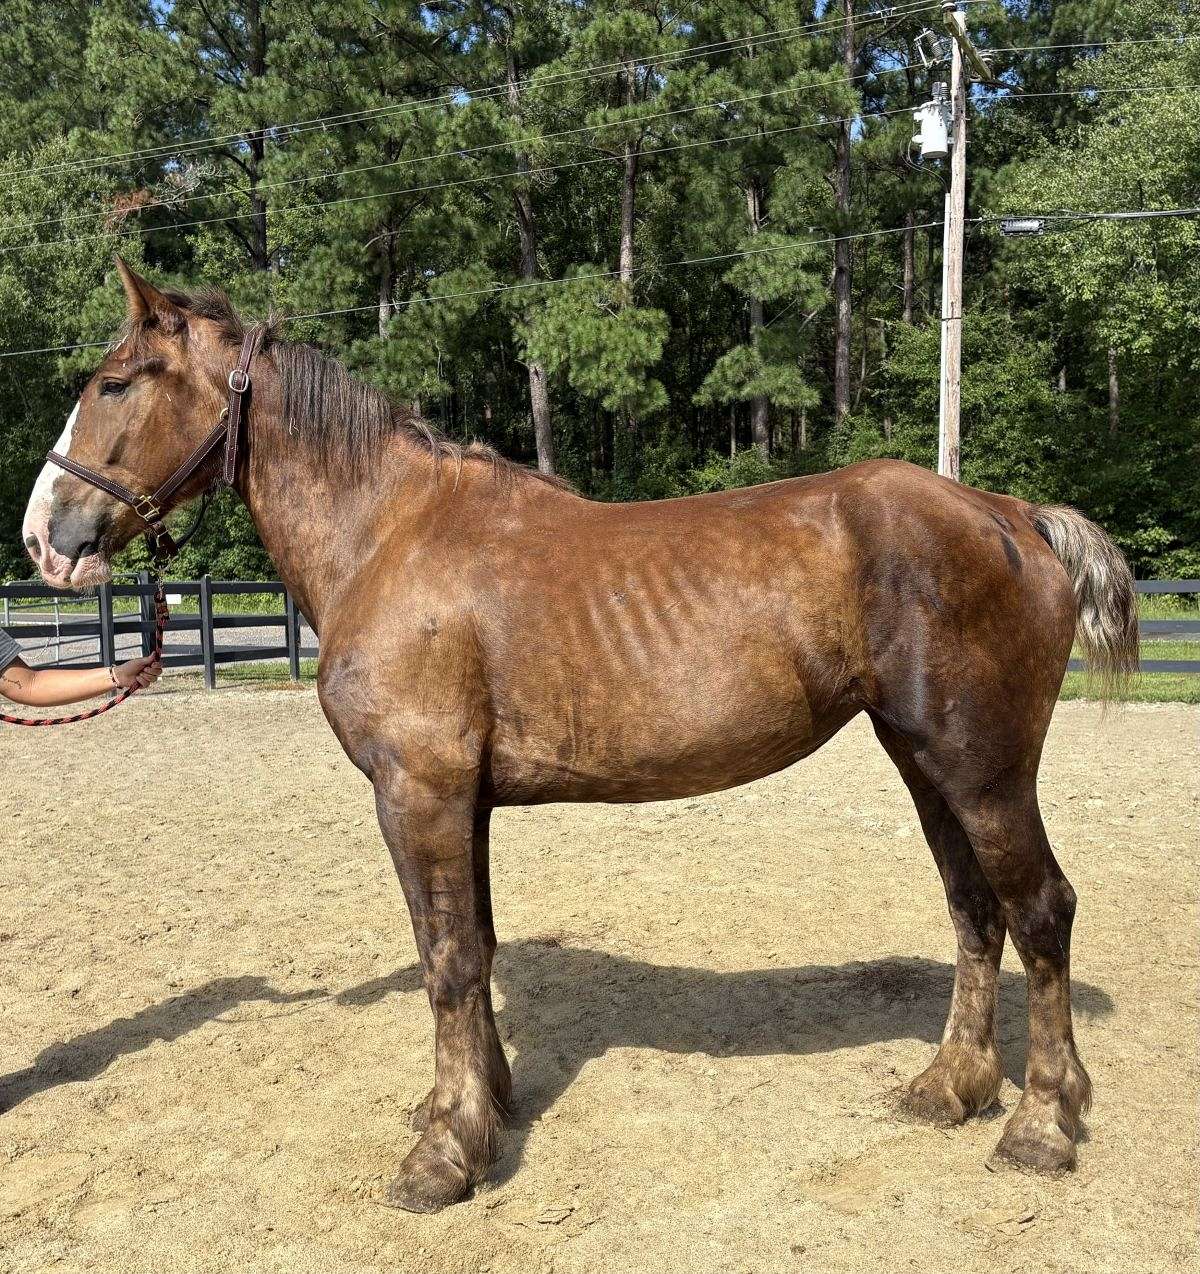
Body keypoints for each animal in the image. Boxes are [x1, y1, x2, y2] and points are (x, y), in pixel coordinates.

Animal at [20, 260, 1138, 1212]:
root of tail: (1011, 515)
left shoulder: (418, 789)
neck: (389, 534)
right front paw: (482, 1108)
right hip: (925, 763)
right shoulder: (458, 799)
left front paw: (442, 1154)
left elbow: (448, 960)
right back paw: (951, 1087)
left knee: (1040, 911)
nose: (44, 538)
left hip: (982, 769)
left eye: (115, 383)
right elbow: (469, 945)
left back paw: (1041, 1124)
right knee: (973, 910)